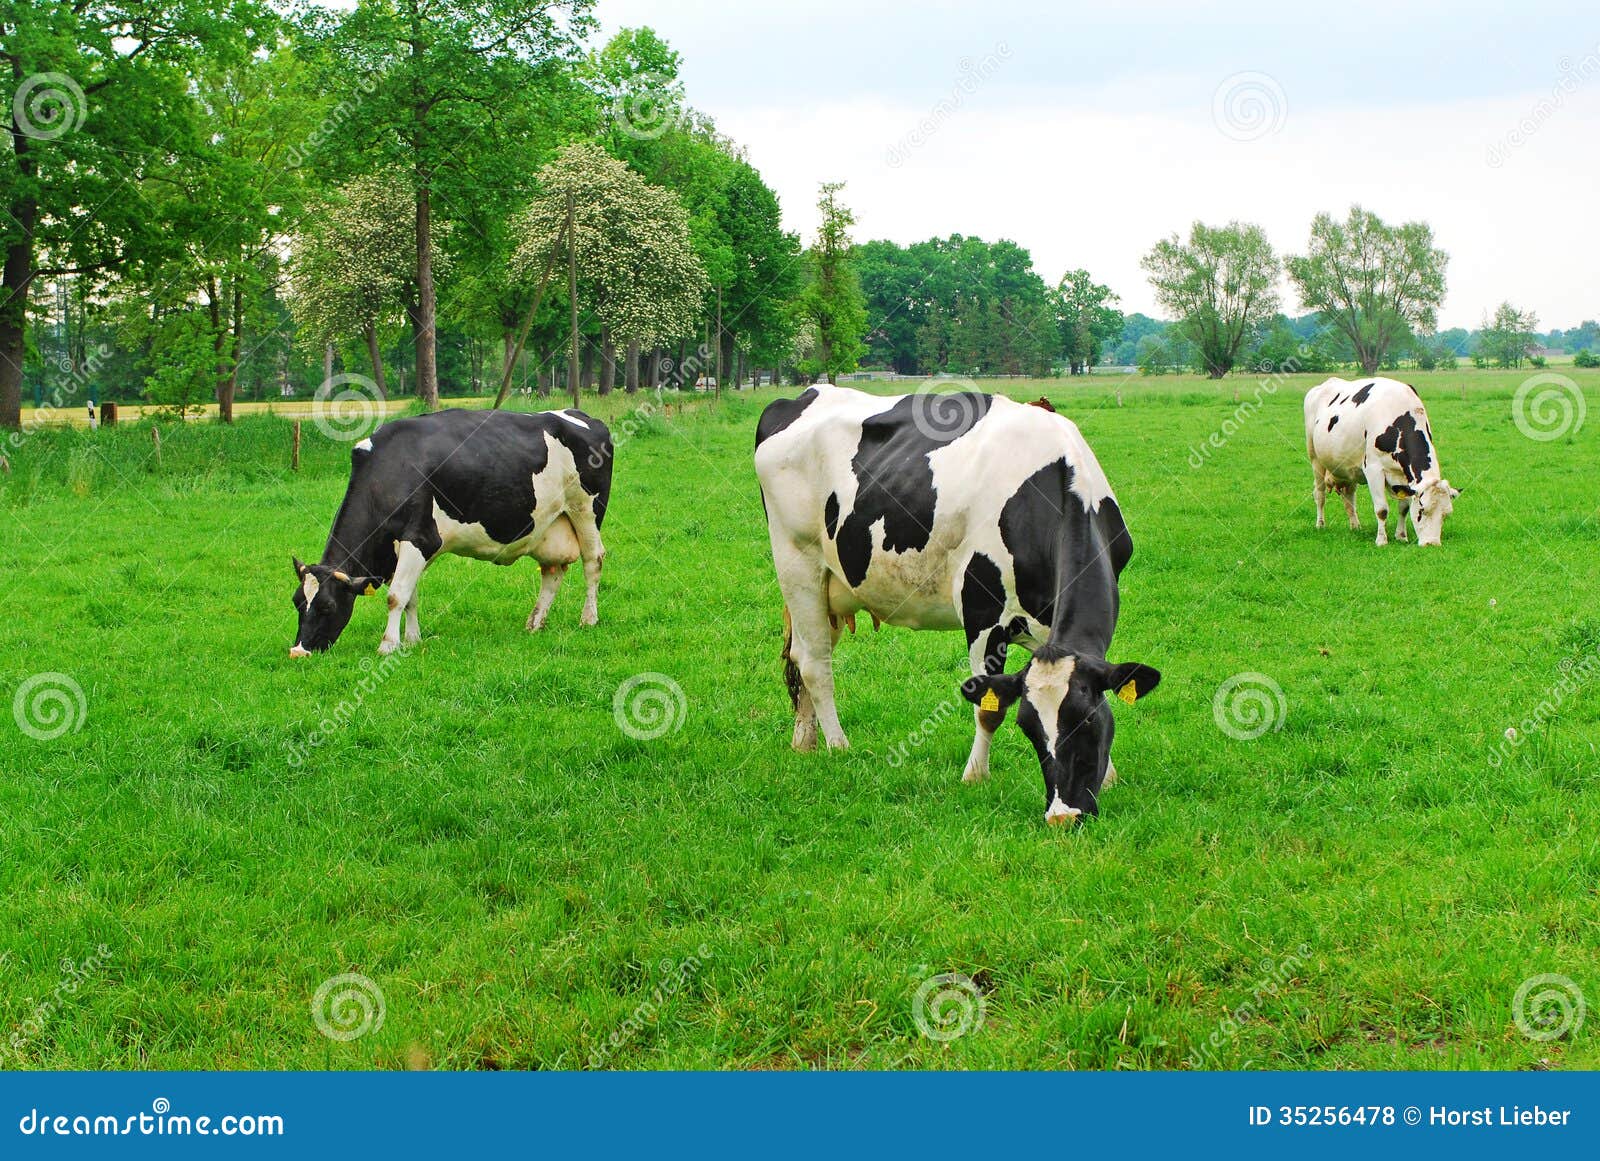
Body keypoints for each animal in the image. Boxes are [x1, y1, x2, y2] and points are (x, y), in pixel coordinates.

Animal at [289, 407, 611, 657]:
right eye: (296, 602)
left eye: (328, 606)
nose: (298, 652)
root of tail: (582, 415)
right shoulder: (406, 549)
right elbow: (411, 597)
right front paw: (412, 640)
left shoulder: (420, 539)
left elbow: (396, 596)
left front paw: (388, 646)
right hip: (550, 524)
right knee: (552, 572)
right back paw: (535, 623)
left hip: (585, 510)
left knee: (593, 561)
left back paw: (588, 619)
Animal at [754, 385, 1160, 825]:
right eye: (1030, 730)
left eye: (1087, 722)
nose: (1063, 815)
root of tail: (799, 397)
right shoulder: (981, 608)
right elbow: (987, 706)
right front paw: (975, 775)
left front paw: (1109, 776)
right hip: (797, 562)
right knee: (815, 663)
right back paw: (838, 745)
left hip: (833, 587)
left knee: (802, 654)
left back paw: (804, 740)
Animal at [1304, 377, 1460, 547]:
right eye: (1422, 510)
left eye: (1446, 514)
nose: (1432, 543)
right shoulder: (1373, 469)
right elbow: (1382, 510)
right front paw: (1381, 540)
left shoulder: (1404, 477)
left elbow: (1404, 507)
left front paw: (1401, 535)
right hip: (1315, 459)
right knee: (1320, 494)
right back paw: (1320, 524)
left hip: (1348, 467)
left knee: (1349, 497)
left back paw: (1355, 526)